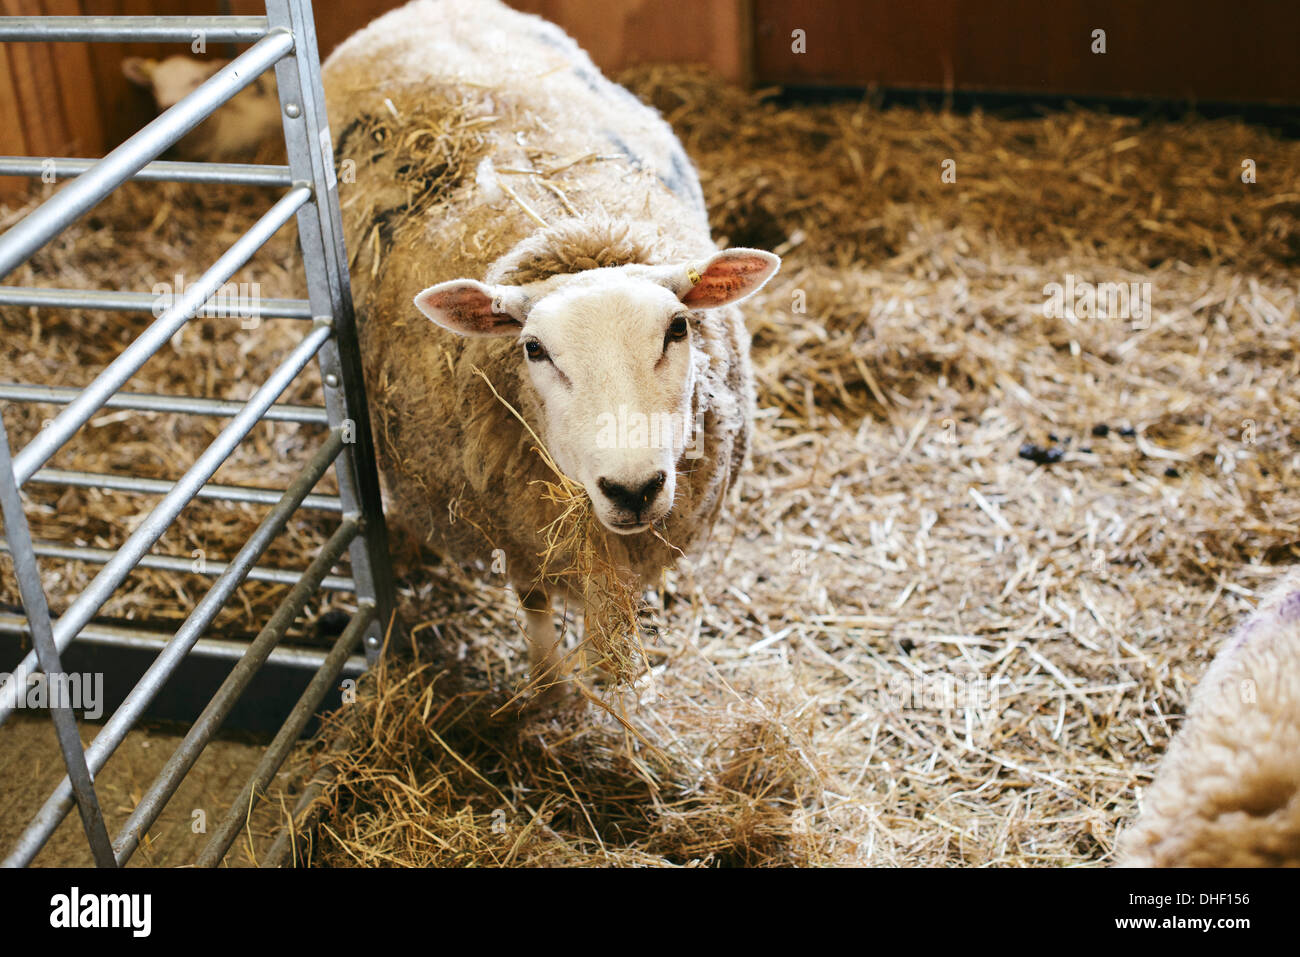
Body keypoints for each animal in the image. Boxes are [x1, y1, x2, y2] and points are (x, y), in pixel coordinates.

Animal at [321, 0, 779, 696]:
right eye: (534, 350)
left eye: (677, 329)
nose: (632, 490)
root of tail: (428, 7)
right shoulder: (517, 527)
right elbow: (535, 601)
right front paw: (547, 685)